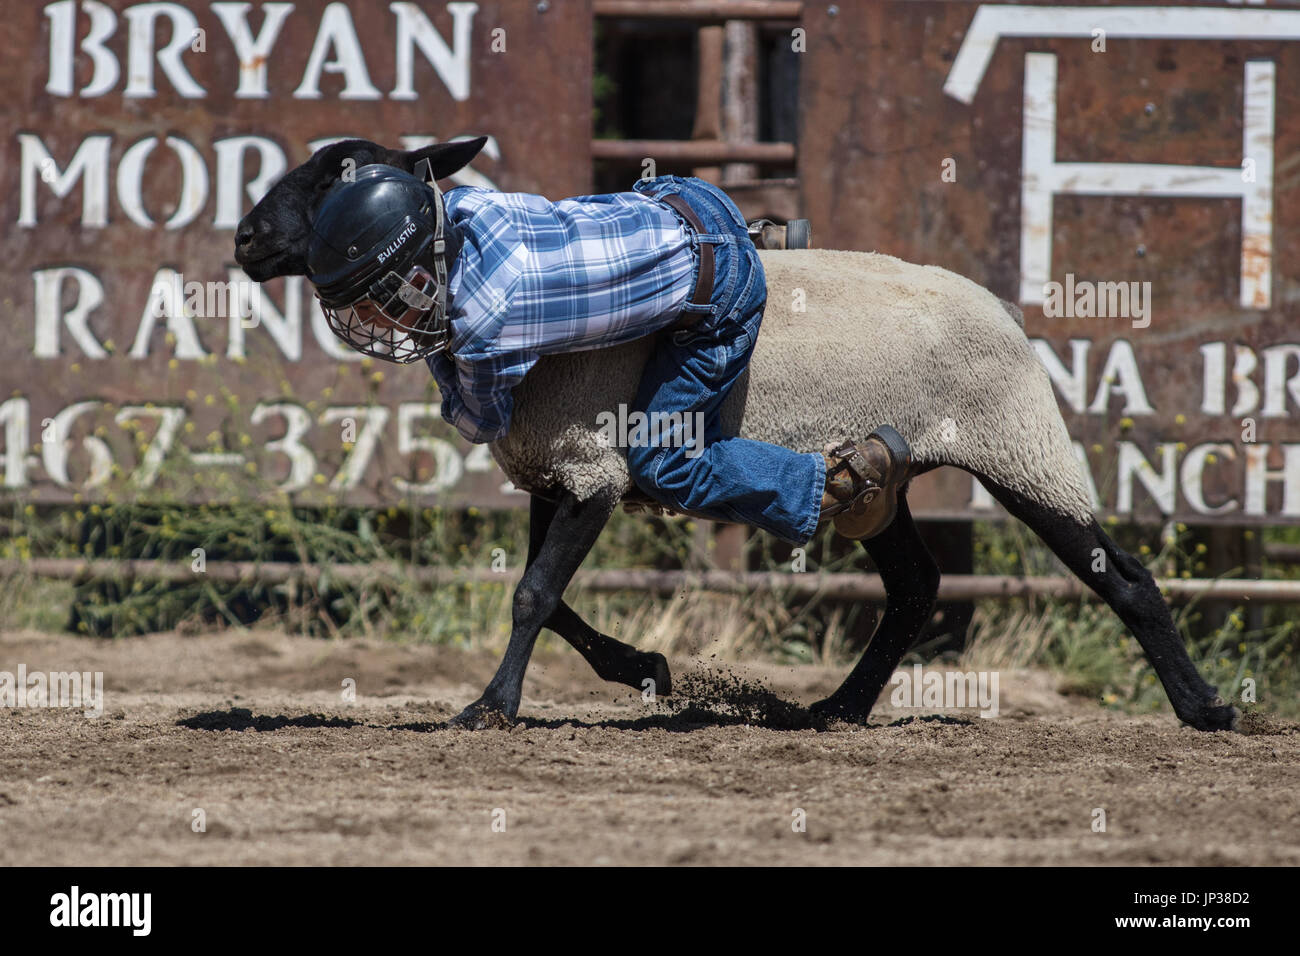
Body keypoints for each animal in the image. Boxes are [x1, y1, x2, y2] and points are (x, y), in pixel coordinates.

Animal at [235, 139, 1237, 733]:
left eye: (337, 177)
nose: (243, 238)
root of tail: (1006, 310)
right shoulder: (556, 471)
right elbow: (548, 600)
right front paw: (644, 668)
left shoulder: (592, 463)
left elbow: (531, 596)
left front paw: (493, 705)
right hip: (917, 470)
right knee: (914, 583)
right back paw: (836, 704)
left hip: (1020, 443)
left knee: (1126, 576)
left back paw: (1205, 709)